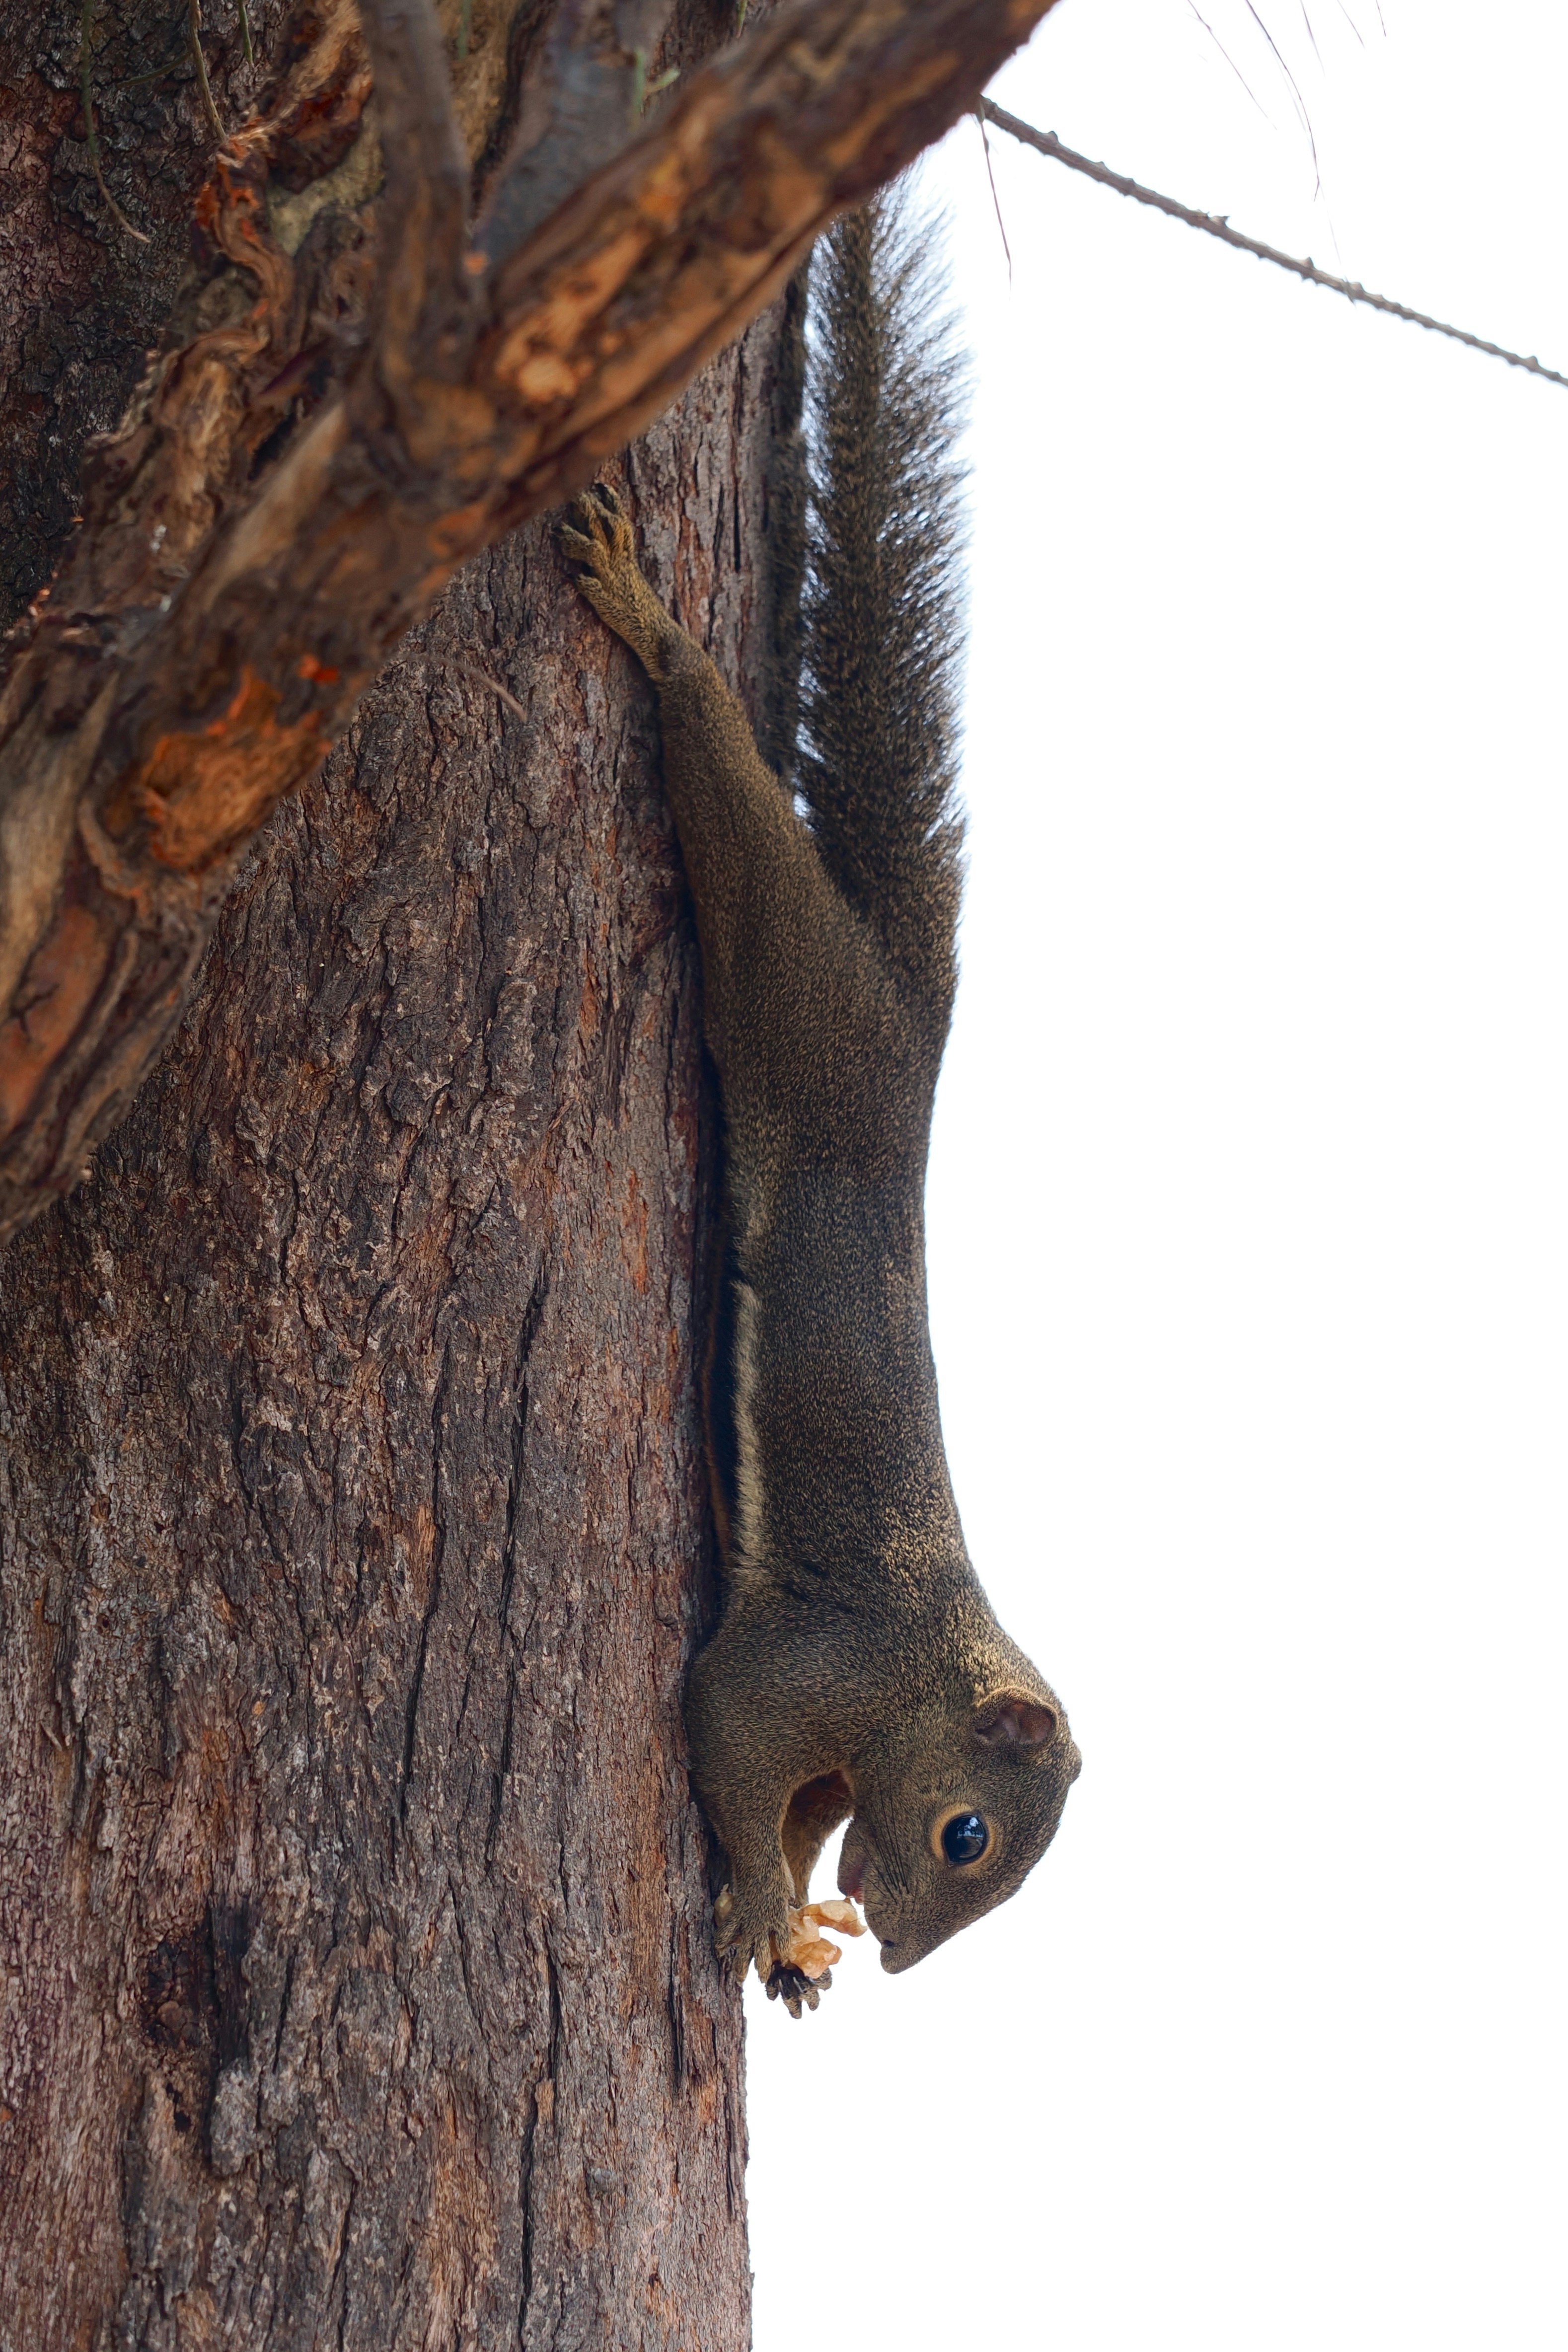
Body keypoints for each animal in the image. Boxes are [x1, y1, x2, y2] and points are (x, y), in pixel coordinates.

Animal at [560, 190, 1080, 2017]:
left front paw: (792, 1931)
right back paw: (647, 624)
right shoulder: (804, 1661)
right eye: (966, 1838)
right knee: (725, 803)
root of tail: (903, 1022)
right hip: (782, 977)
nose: (913, 1957)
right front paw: (752, 1912)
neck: (917, 1682)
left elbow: (783, 1810)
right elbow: (721, 1740)